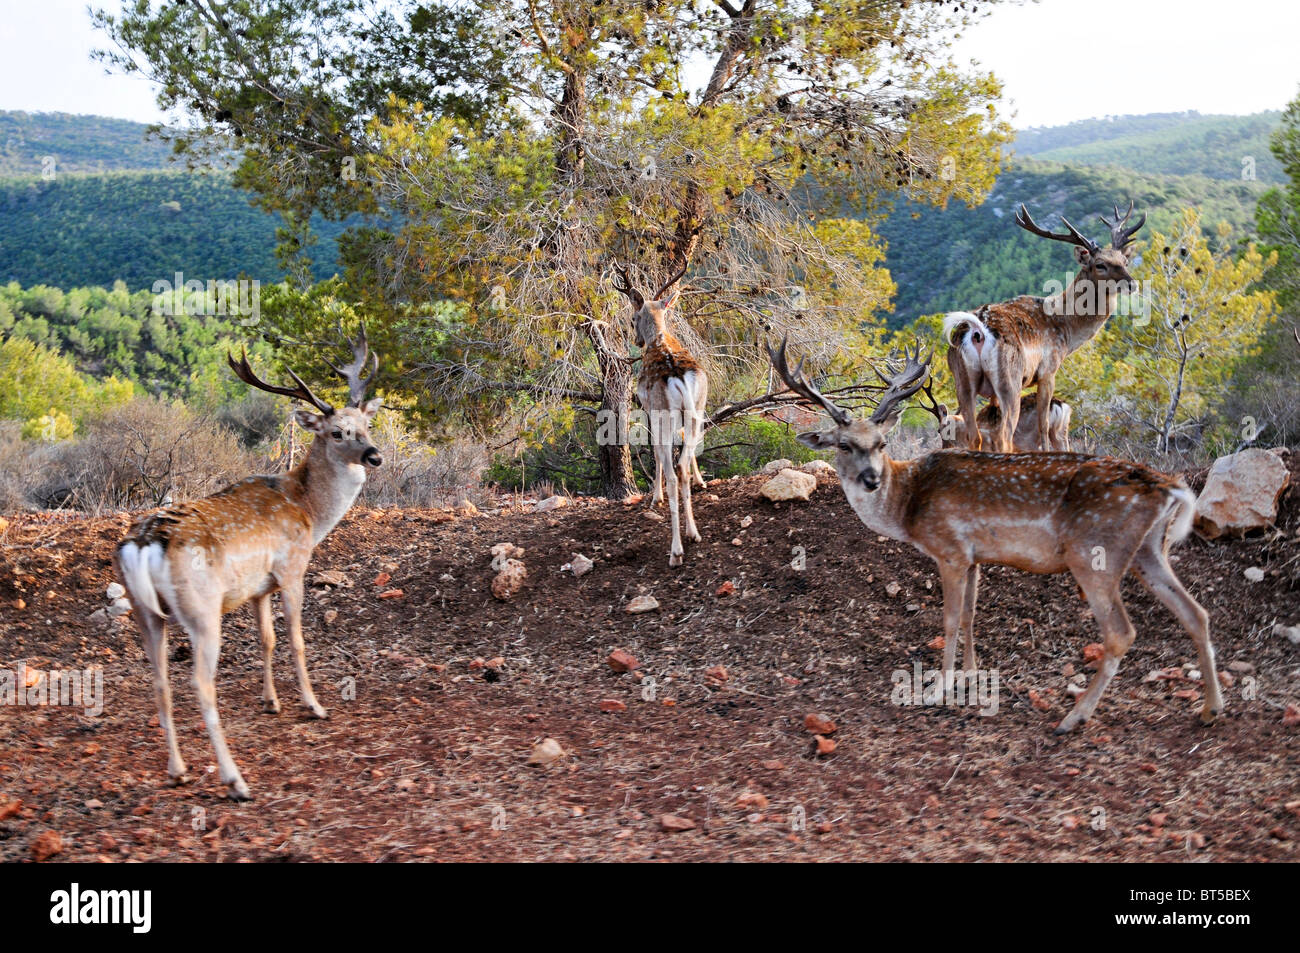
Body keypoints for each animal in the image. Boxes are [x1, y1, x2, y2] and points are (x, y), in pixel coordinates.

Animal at [115, 330, 383, 800]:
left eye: (367, 425)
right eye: (337, 432)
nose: (373, 455)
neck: (308, 510)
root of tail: (145, 543)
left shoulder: (259, 587)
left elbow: (267, 639)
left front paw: (270, 701)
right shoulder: (292, 569)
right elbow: (296, 640)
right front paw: (313, 705)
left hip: (146, 611)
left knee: (159, 679)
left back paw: (178, 770)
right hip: (201, 610)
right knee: (200, 684)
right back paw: (235, 779)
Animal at [612, 261, 708, 567]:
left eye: (633, 318)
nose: (637, 340)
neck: (661, 339)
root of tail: (679, 378)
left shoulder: (649, 409)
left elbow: (654, 452)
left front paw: (655, 498)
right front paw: (702, 481)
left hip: (665, 413)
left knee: (674, 469)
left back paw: (676, 551)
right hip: (697, 408)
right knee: (684, 461)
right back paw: (693, 533)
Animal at [768, 337, 1223, 734]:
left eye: (881, 443)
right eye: (844, 445)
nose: (871, 479)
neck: (908, 506)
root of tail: (1169, 486)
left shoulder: (949, 550)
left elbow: (950, 620)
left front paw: (936, 690)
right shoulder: (975, 557)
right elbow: (971, 615)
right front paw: (969, 677)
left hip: (1095, 554)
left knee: (1121, 633)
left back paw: (1072, 718)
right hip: (1150, 550)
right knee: (1196, 613)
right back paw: (1209, 710)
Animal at [944, 200, 1145, 452]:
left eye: (1124, 262)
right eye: (1100, 264)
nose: (1132, 284)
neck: (1065, 329)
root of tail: (976, 330)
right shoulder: (1049, 370)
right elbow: (1043, 426)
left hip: (962, 380)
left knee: (974, 436)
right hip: (1009, 379)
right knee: (1003, 436)